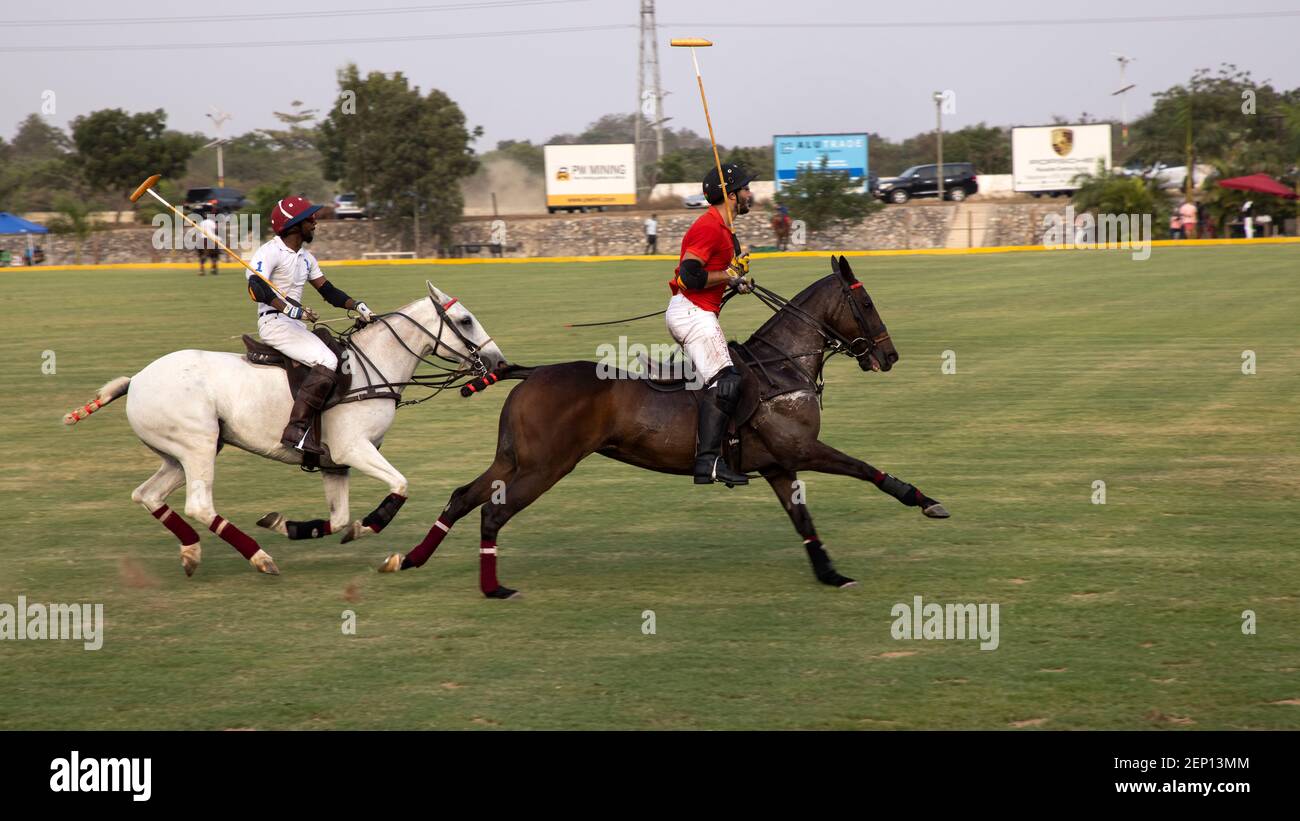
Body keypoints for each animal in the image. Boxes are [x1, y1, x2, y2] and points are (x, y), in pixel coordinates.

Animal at [62, 283, 506, 577]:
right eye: (465, 320)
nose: (497, 361)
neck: (374, 367)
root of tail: (136, 380)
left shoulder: (333, 463)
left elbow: (339, 519)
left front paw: (287, 525)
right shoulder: (352, 449)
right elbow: (400, 486)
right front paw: (370, 525)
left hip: (180, 453)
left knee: (148, 494)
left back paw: (191, 552)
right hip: (197, 444)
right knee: (199, 505)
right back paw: (259, 558)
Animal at [380, 256, 948, 597]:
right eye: (866, 302)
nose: (889, 357)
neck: (783, 367)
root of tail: (531, 373)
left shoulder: (778, 465)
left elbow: (803, 520)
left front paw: (830, 573)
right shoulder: (801, 449)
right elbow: (865, 468)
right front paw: (924, 501)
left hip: (512, 458)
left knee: (462, 495)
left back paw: (409, 559)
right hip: (545, 467)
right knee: (492, 514)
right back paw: (493, 587)